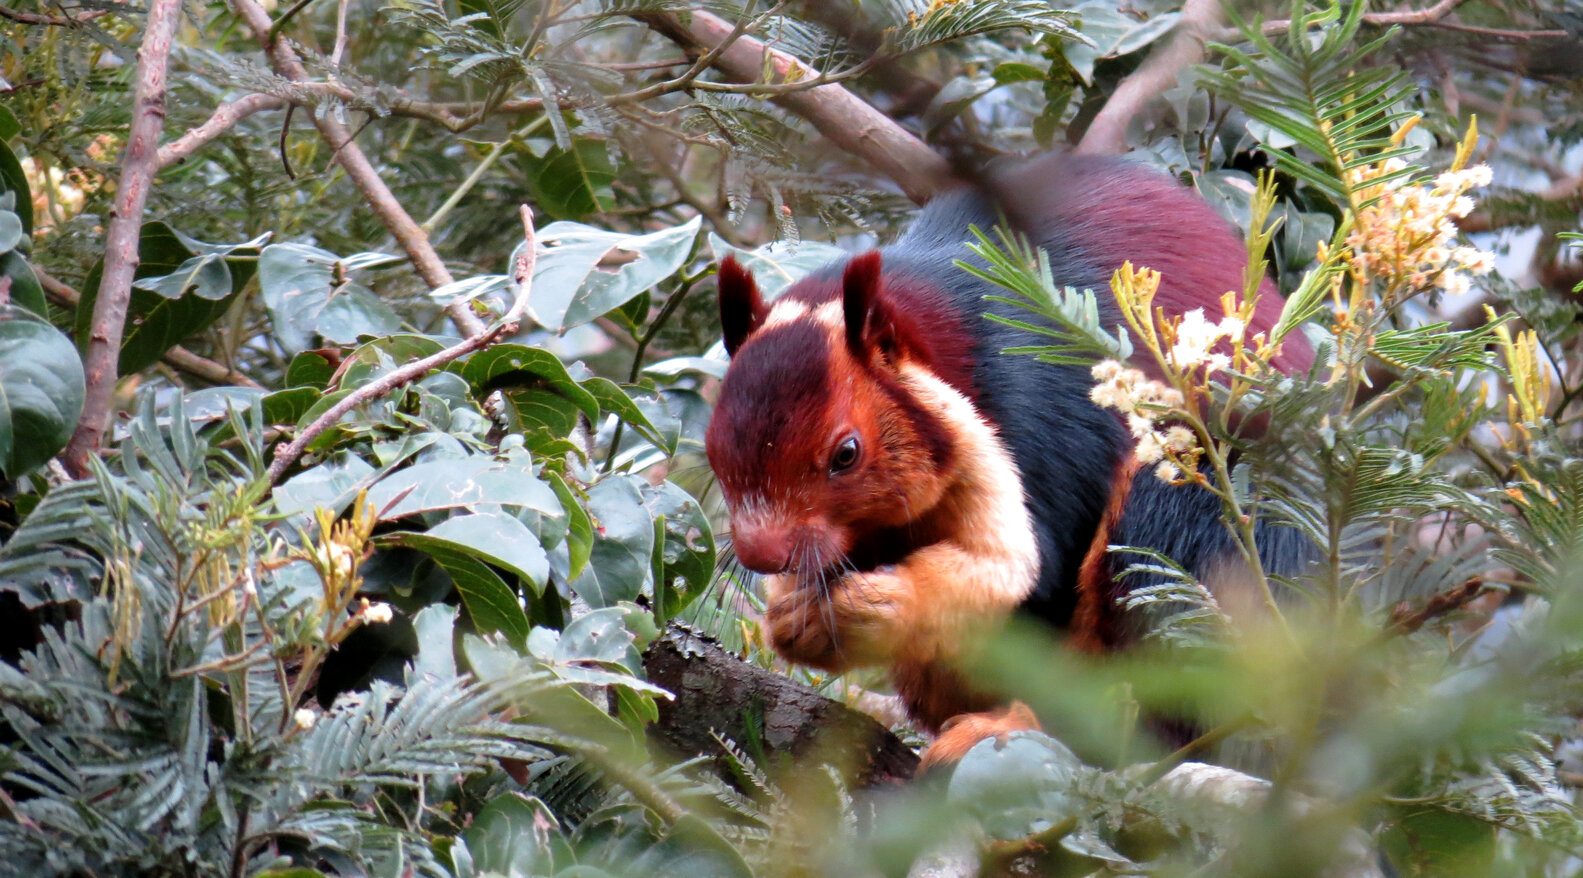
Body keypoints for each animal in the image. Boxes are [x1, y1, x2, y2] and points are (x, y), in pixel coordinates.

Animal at [703, 154, 1316, 768]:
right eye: (713, 447)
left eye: (846, 454)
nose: (760, 553)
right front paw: (795, 616)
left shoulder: (1044, 415)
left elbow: (1028, 570)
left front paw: (879, 607)